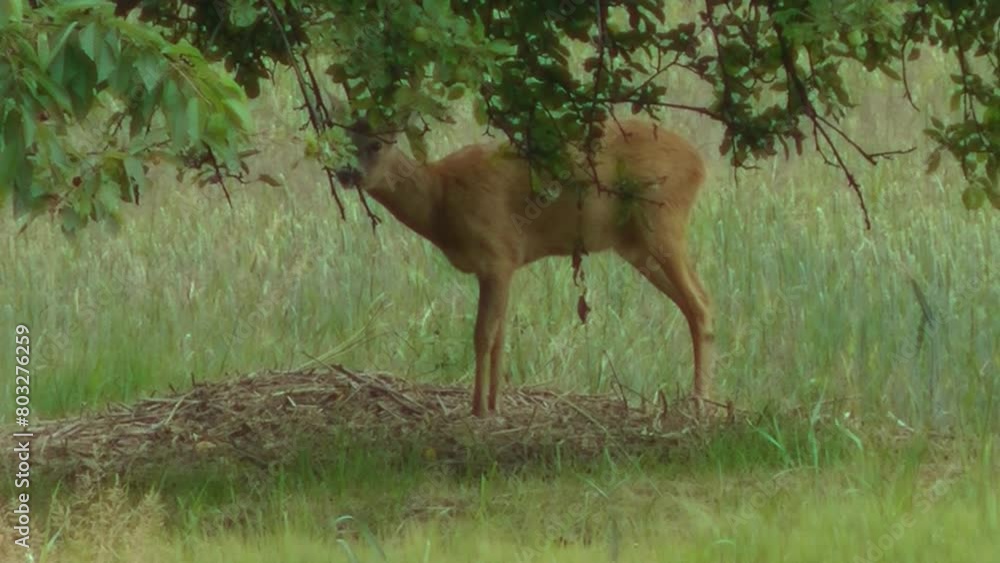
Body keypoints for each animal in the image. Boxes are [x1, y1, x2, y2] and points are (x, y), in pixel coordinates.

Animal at [335, 118, 715, 417]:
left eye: (376, 144)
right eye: (342, 138)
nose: (344, 174)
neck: (440, 200)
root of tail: (699, 163)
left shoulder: (497, 255)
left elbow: (483, 335)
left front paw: (479, 410)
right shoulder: (504, 266)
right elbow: (501, 334)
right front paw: (494, 404)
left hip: (662, 221)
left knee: (700, 304)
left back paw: (699, 405)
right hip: (636, 245)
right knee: (696, 302)